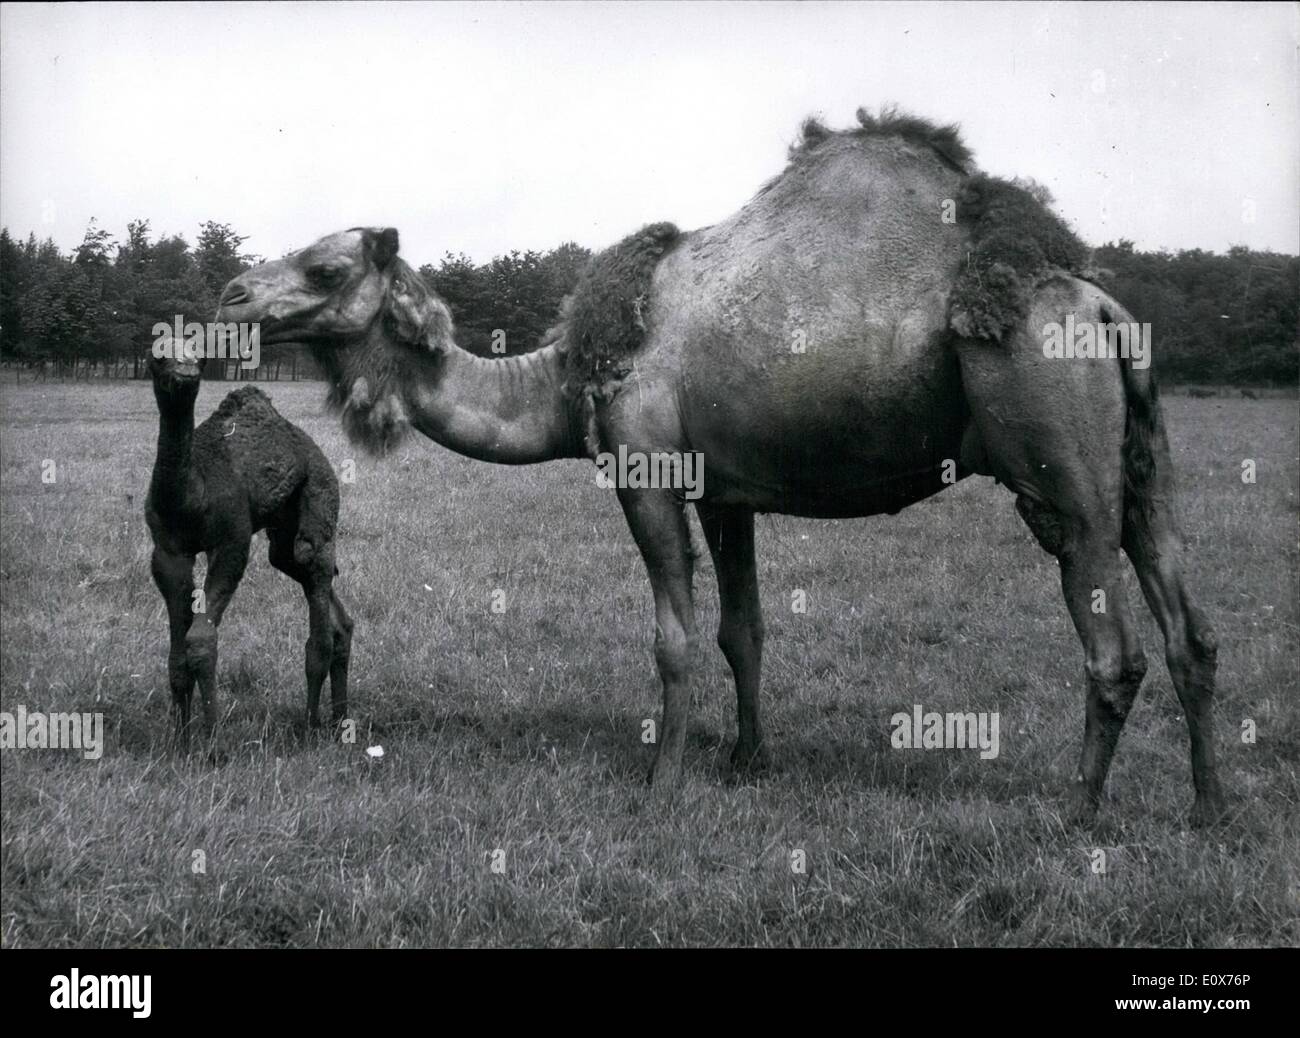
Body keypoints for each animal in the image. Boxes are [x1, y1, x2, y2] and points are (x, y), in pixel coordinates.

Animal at [145, 353, 353, 743]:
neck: (192, 495)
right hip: (283, 537)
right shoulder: (168, 553)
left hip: (319, 498)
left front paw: (212, 744)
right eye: (159, 356)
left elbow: (200, 641)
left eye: (198, 358)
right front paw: (180, 742)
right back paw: (340, 721)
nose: (186, 373)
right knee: (336, 618)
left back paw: (311, 726)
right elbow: (177, 653)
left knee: (318, 619)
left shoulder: (231, 541)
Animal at [214, 108, 1224, 825]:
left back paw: (1076, 812)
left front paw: (662, 782)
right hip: (1146, 459)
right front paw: (747, 761)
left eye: (323, 267)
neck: (566, 376)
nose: (230, 292)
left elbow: (675, 635)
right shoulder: (727, 489)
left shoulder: (646, 467)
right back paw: (1209, 806)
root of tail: (1099, 307)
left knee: (1112, 639)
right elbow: (746, 631)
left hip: (1053, 446)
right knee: (1192, 628)